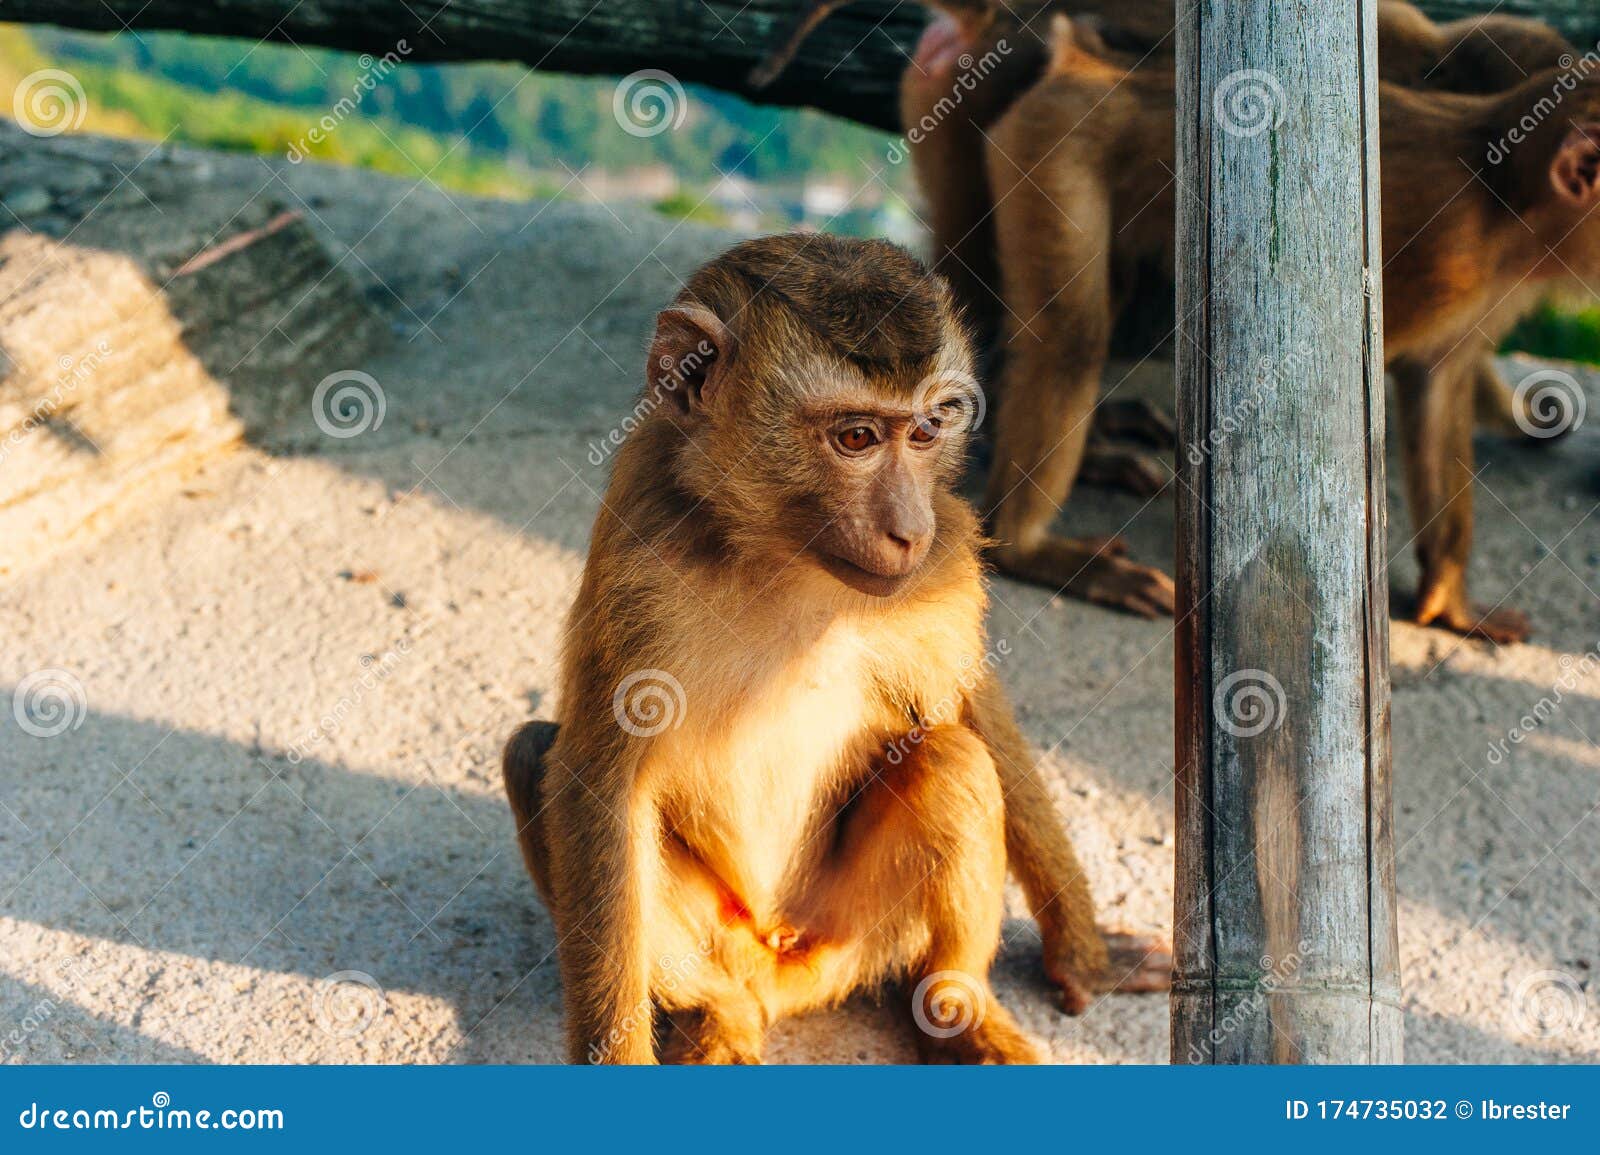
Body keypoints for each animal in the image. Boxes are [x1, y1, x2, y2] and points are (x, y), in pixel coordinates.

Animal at [502, 233, 1168, 1065]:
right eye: (856, 438)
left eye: (926, 431)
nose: (909, 528)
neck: (785, 557)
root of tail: (780, 973)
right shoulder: (639, 558)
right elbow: (600, 777)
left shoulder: (943, 568)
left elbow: (969, 707)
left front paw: (1088, 957)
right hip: (728, 938)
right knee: (534, 755)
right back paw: (721, 1014)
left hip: (851, 934)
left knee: (952, 762)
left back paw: (956, 1007)